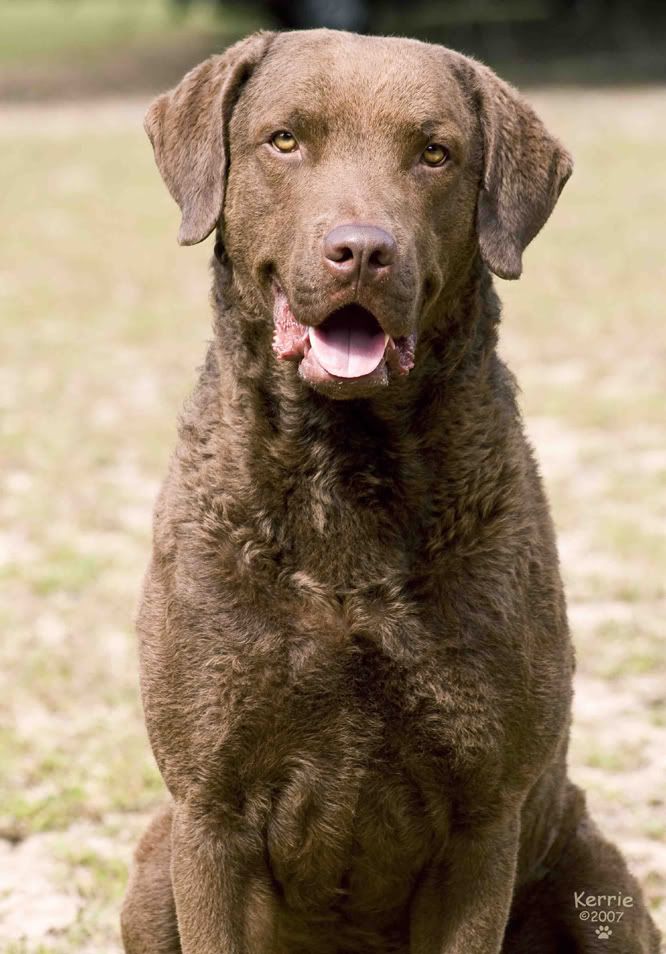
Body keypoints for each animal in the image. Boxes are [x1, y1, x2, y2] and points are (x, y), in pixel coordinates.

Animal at [122, 27, 660, 952]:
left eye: (434, 153)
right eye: (285, 140)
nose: (363, 251)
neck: (344, 481)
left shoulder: (484, 821)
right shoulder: (210, 812)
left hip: (602, 886)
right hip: (156, 870)